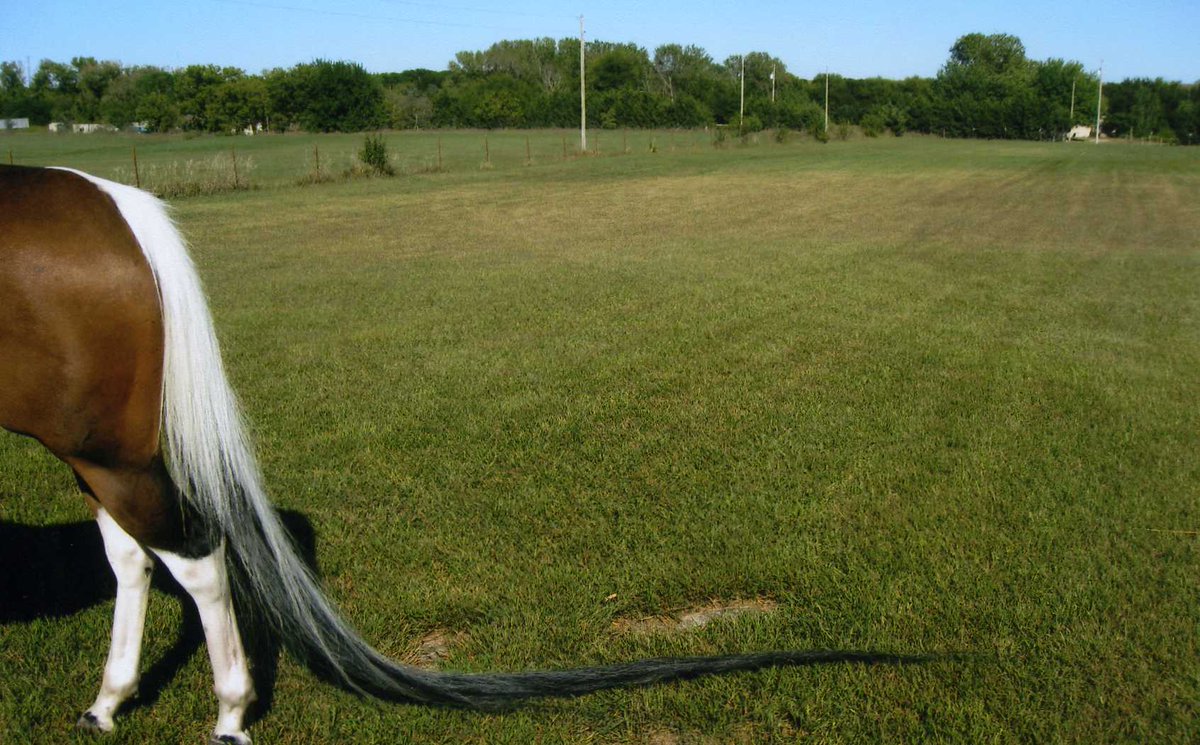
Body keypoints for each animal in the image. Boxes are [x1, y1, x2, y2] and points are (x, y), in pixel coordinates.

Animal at [0, 165, 924, 743]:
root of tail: (120, 209)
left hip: (103, 447)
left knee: (184, 554)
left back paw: (225, 714)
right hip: (98, 448)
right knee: (136, 554)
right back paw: (108, 705)